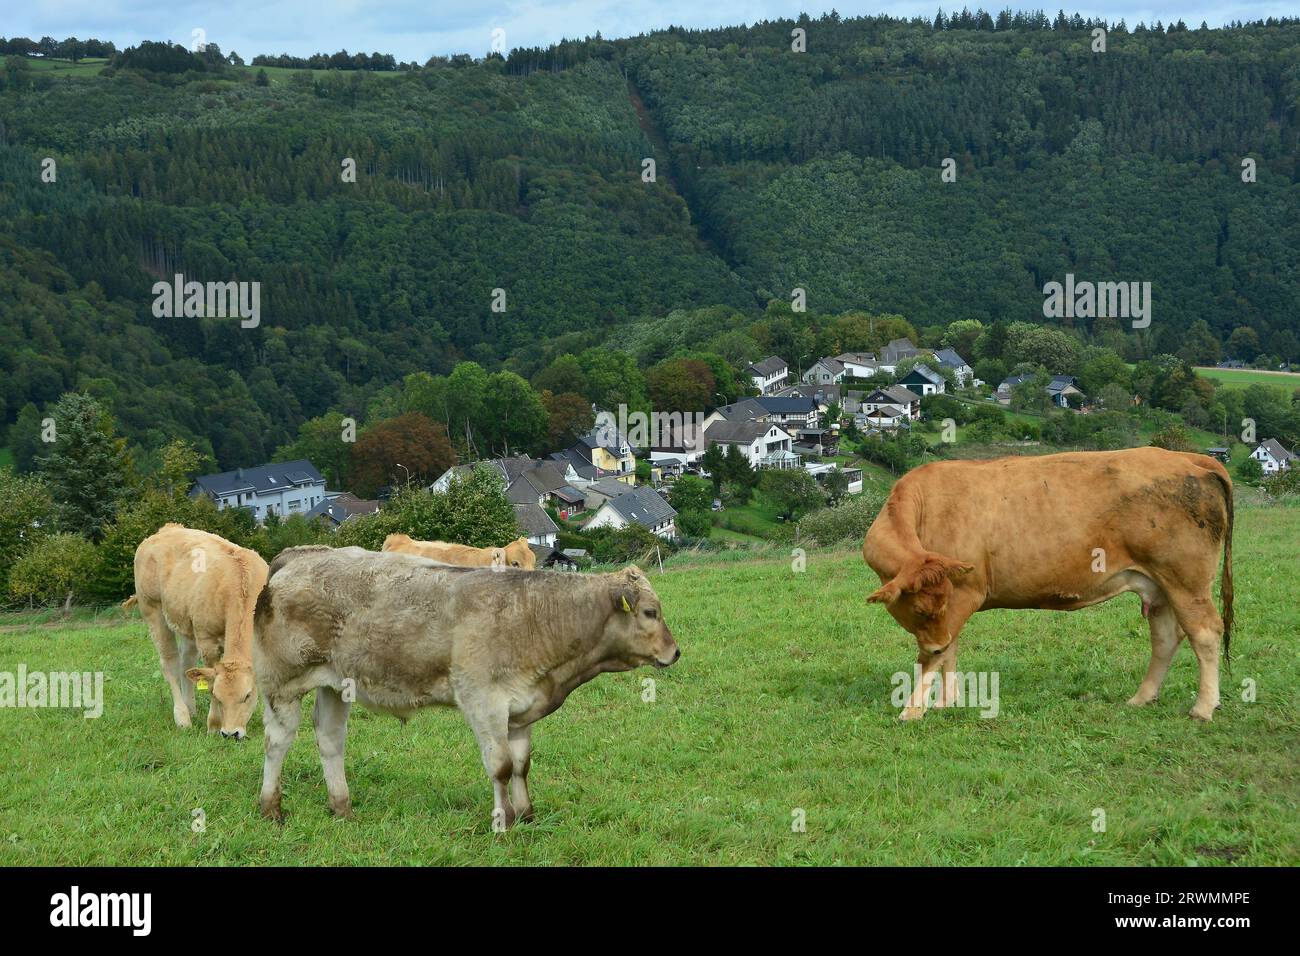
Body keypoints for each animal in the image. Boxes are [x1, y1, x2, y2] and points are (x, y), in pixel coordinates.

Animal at [129, 524, 269, 738]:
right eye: (217, 696)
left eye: (247, 695)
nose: (231, 734)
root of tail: (167, 528)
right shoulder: (207, 641)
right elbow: (209, 678)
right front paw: (213, 725)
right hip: (152, 609)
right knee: (170, 663)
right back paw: (182, 717)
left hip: (187, 624)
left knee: (186, 663)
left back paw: (191, 708)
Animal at [252, 547, 679, 825]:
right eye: (650, 612)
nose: (674, 652)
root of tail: (298, 556)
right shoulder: (483, 701)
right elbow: (501, 766)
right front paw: (503, 821)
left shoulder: (522, 708)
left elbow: (522, 764)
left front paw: (527, 815)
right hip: (282, 682)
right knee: (277, 741)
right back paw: (271, 808)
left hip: (336, 683)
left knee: (329, 739)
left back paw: (342, 808)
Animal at [862, 448, 1233, 721]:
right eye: (920, 608)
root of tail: (1187, 457)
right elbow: (949, 650)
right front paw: (945, 701)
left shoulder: (966, 593)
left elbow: (933, 657)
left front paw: (913, 709)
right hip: (1160, 586)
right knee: (1166, 638)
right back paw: (1142, 698)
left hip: (1187, 581)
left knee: (1205, 633)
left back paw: (1203, 708)